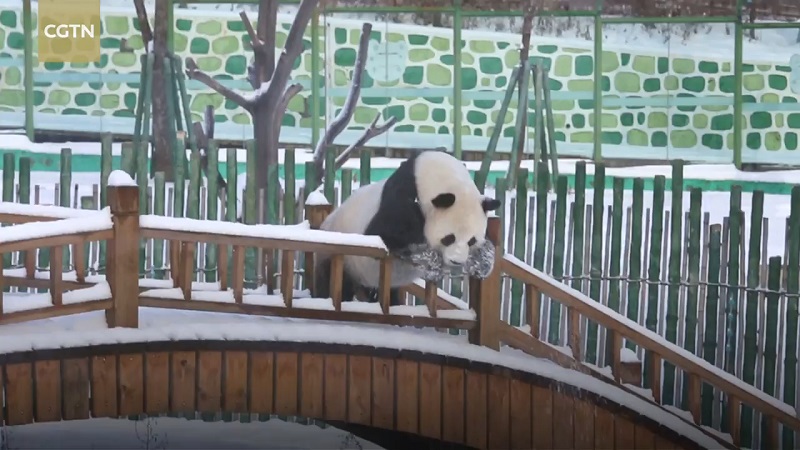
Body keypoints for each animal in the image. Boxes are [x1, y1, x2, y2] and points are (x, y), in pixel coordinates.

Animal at [313, 150, 502, 306]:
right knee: (333, 282)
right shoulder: (402, 196)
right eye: (449, 238)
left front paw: (483, 263)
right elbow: (386, 233)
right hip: (341, 257)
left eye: (471, 241)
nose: (457, 261)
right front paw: (432, 263)